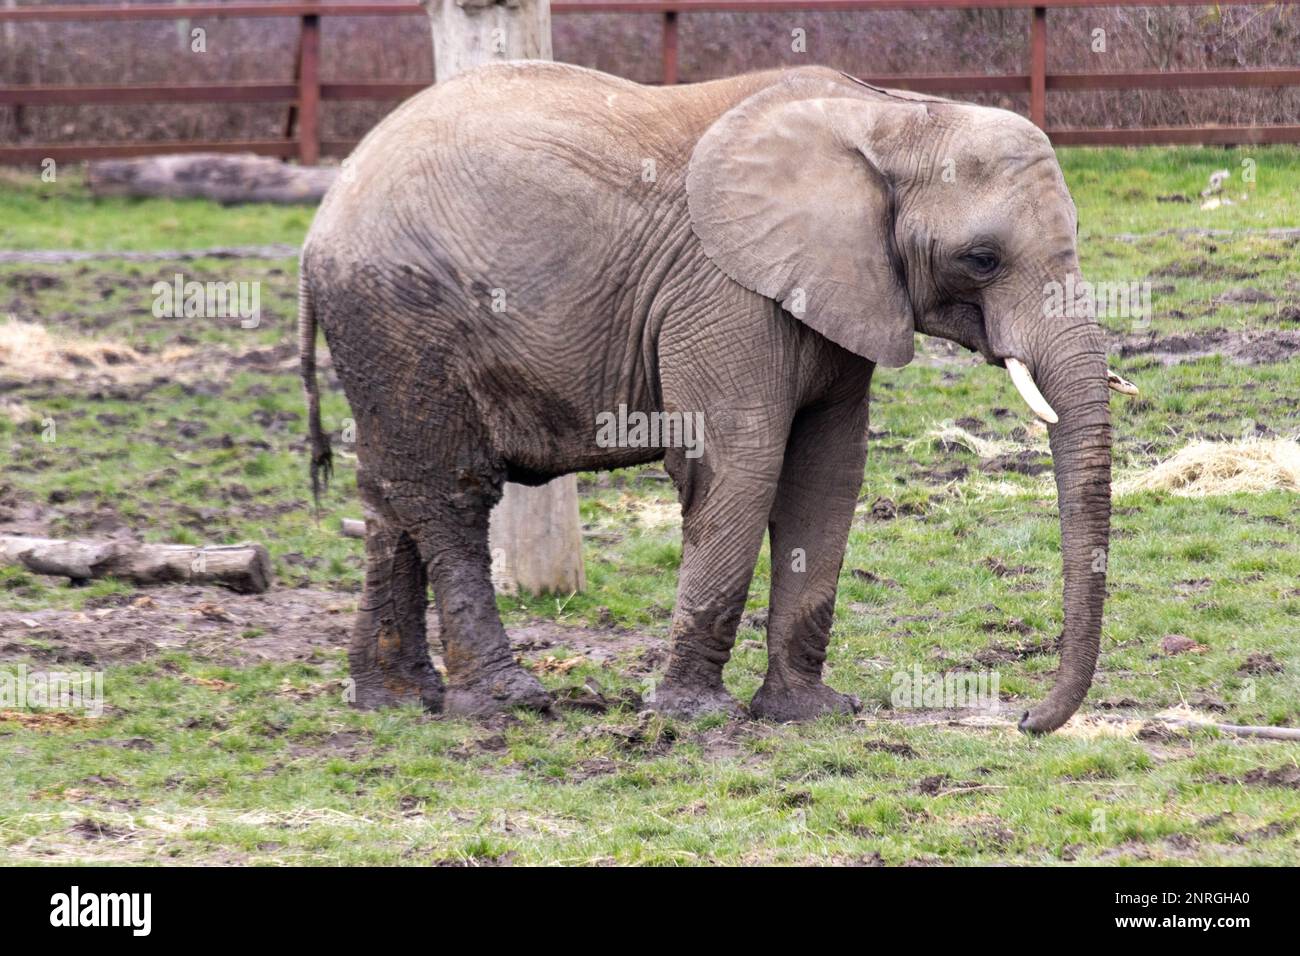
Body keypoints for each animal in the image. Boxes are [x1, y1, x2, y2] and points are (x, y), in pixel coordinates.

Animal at [300, 61, 1130, 732]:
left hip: (381, 332)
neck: (890, 116)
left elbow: (828, 474)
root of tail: (320, 221)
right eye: (982, 259)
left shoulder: (841, 292)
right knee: (451, 493)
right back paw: (508, 703)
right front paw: (695, 718)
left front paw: (810, 715)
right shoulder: (726, 294)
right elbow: (740, 465)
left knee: (388, 494)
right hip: (404, 315)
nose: (1025, 718)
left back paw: (396, 702)